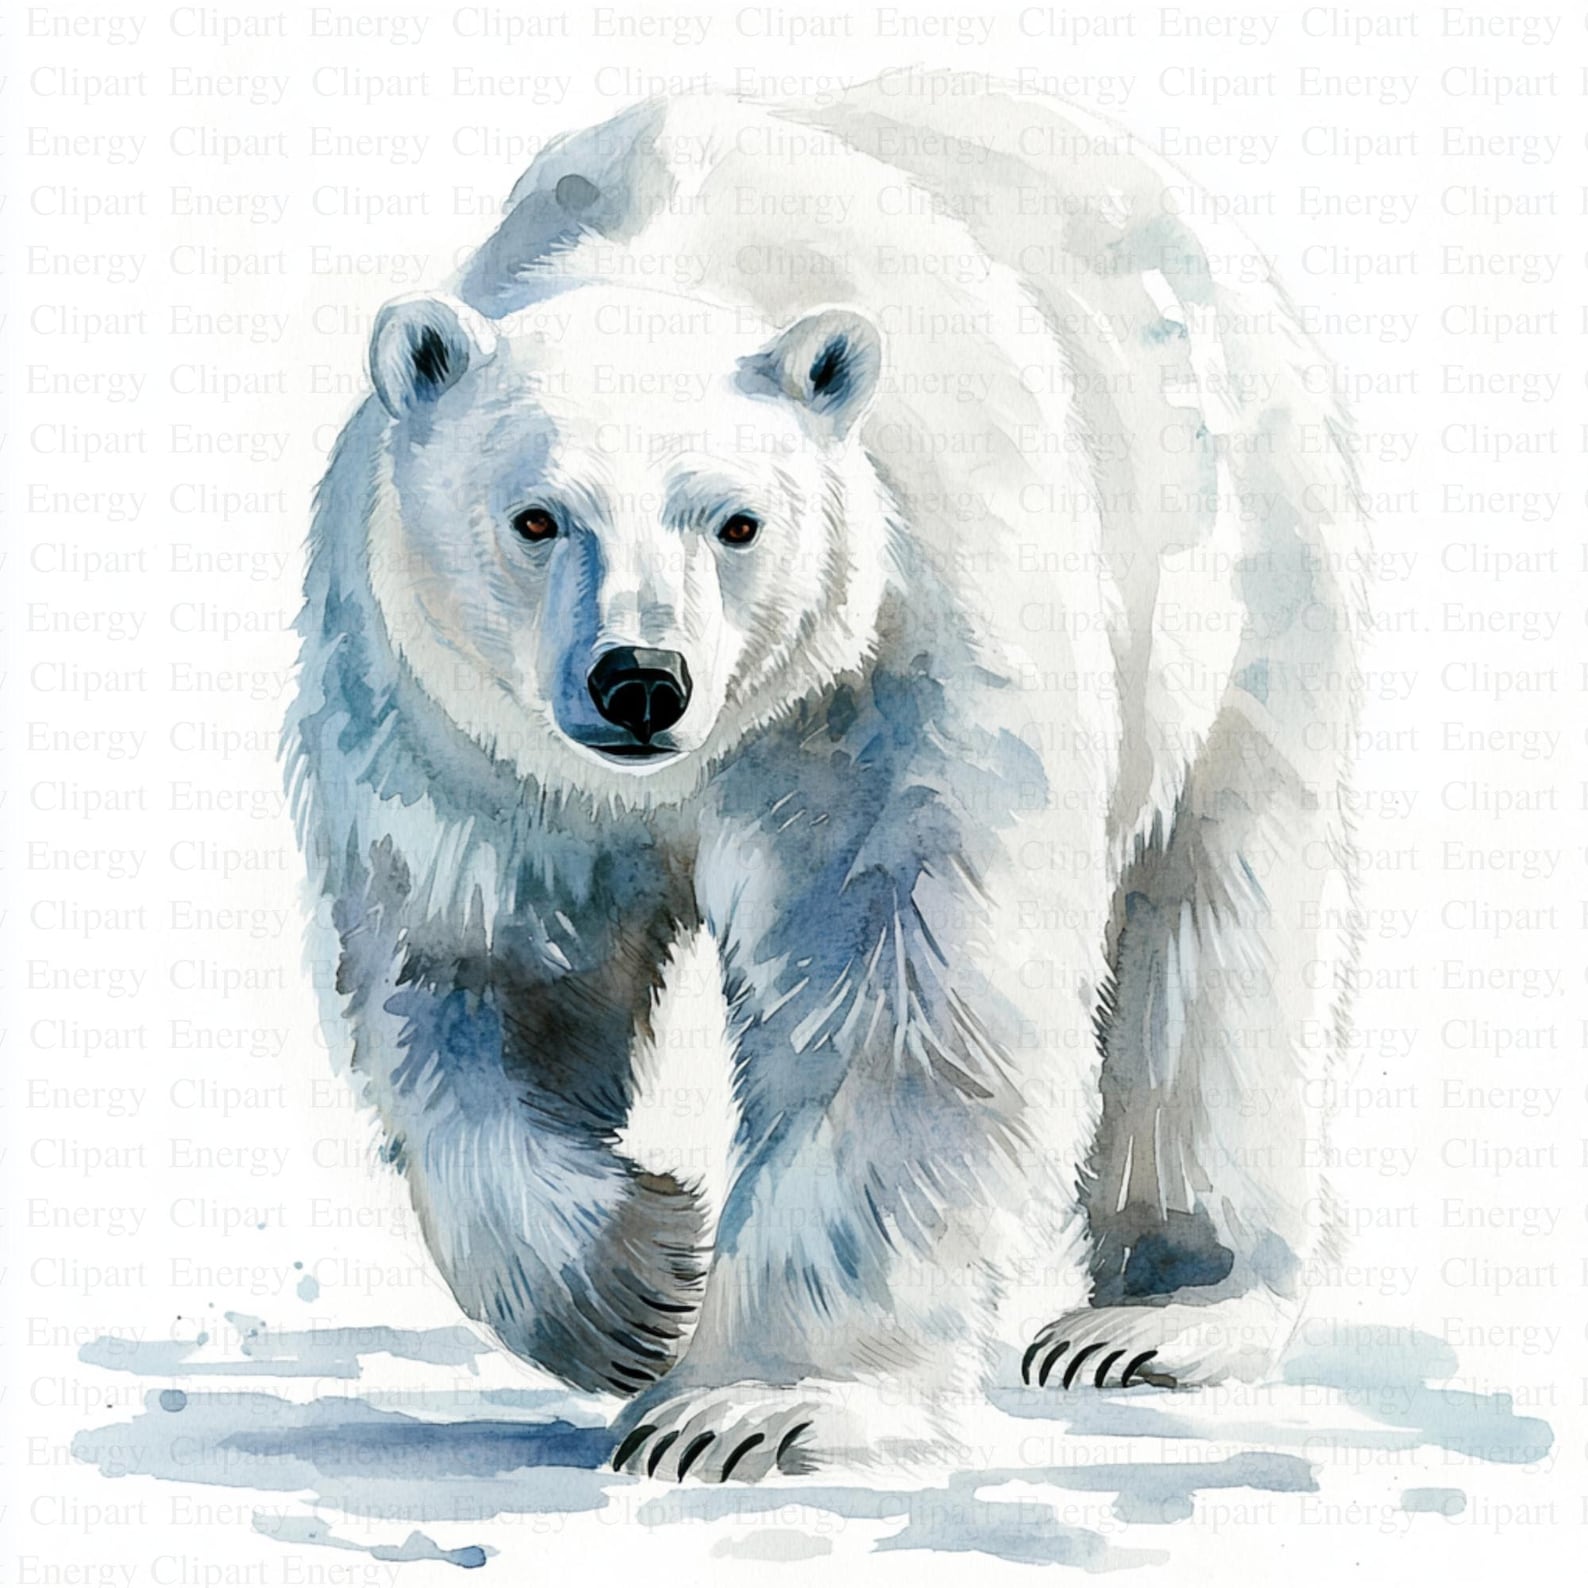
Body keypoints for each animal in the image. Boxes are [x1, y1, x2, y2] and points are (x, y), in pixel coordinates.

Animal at [286, 71, 1367, 1483]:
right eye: (536, 517)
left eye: (738, 521)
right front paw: (637, 1291)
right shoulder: (454, 721)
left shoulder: (889, 659)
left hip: (1236, 564)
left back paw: (1156, 1319)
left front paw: (744, 1407)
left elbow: (895, 989)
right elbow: (482, 972)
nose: (642, 680)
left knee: (1222, 924)